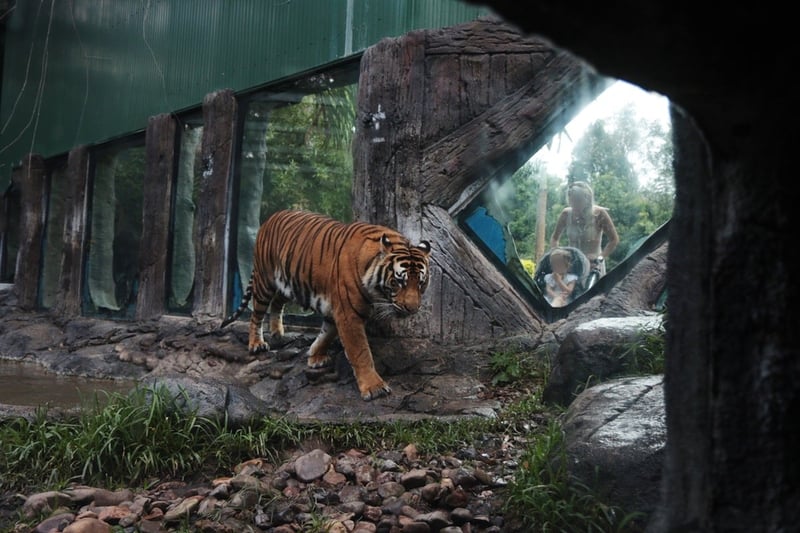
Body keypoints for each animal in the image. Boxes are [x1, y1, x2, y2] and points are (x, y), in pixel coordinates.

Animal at [220, 209, 432, 401]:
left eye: (420, 283)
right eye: (398, 282)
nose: (412, 309)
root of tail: (270, 218)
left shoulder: (336, 309)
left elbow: (327, 333)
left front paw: (315, 356)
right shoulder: (348, 313)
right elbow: (360, 351)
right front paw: (374, 388)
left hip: (288, 284)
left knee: (278, 302)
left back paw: (277, 332)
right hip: (265, 280)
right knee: (256, 314)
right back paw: (257, 344)